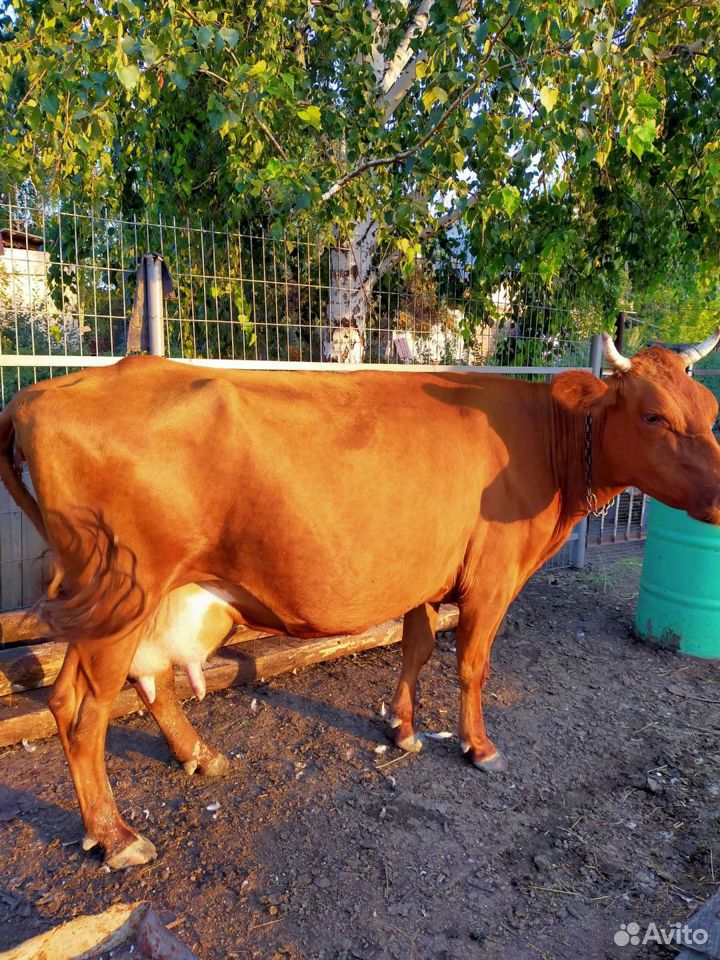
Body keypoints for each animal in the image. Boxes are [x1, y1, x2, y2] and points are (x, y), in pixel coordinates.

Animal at [0, 332, 719, 870]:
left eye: (710, 412)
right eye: (654, 415)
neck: (544, 442)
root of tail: (46, 390)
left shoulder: (425, 576)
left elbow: (417, 650)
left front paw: (401, 728)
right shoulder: (492, 578)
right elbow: (471, 663)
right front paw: (478, 745)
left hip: (131, 600)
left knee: (124, 684)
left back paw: (197, 756)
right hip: (119, 597)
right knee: (83, 709)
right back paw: (115, 836)